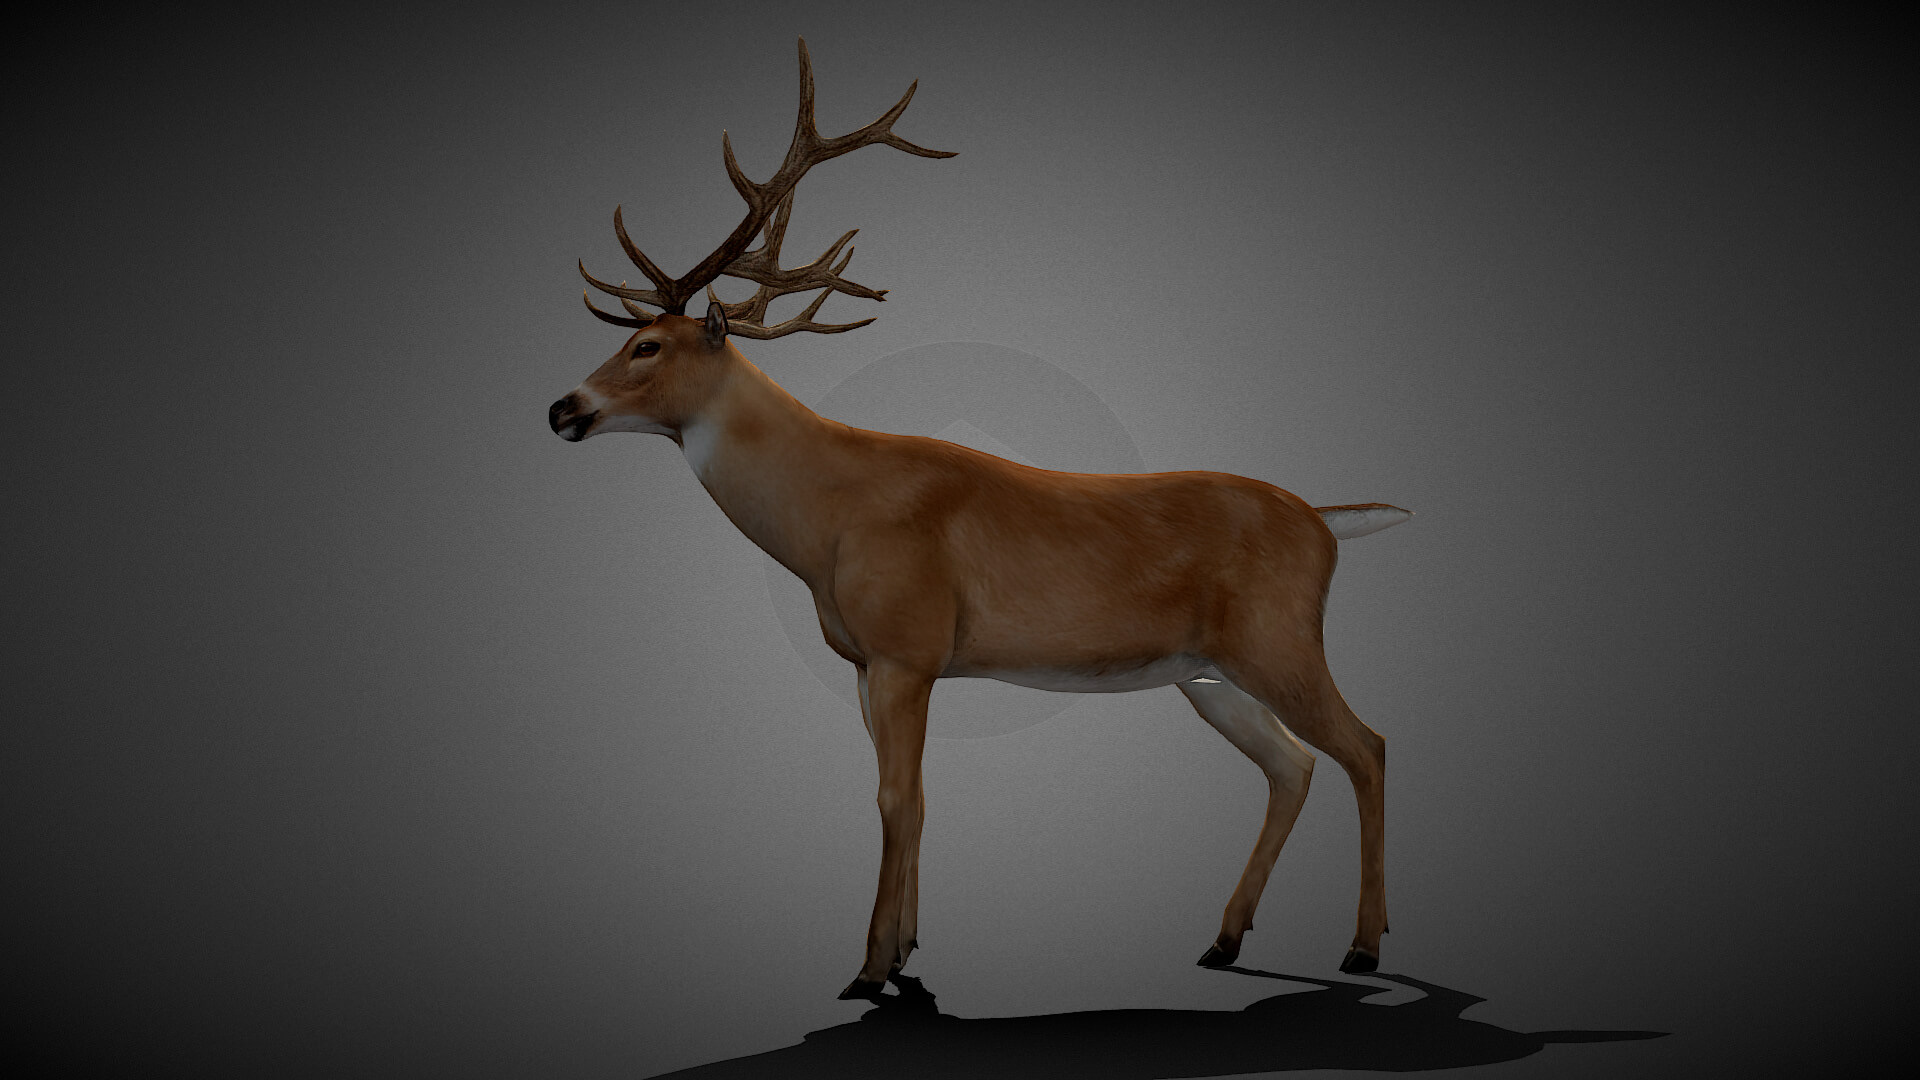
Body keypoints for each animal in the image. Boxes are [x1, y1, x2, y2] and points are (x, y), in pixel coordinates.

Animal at [548, 39, 1413, 1001]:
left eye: (647, 346)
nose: (562, 408)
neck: (828, 514)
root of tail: (1326, 521)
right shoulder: (866, 661)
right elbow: (918, 800)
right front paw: (907, 955)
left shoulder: (907, 645)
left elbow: (895, 799)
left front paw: (868, 969)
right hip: (1208, 673)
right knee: (1294, 762)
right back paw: (1224, 940)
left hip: (1279, 640)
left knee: (1367, 746)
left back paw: (1364, 947)